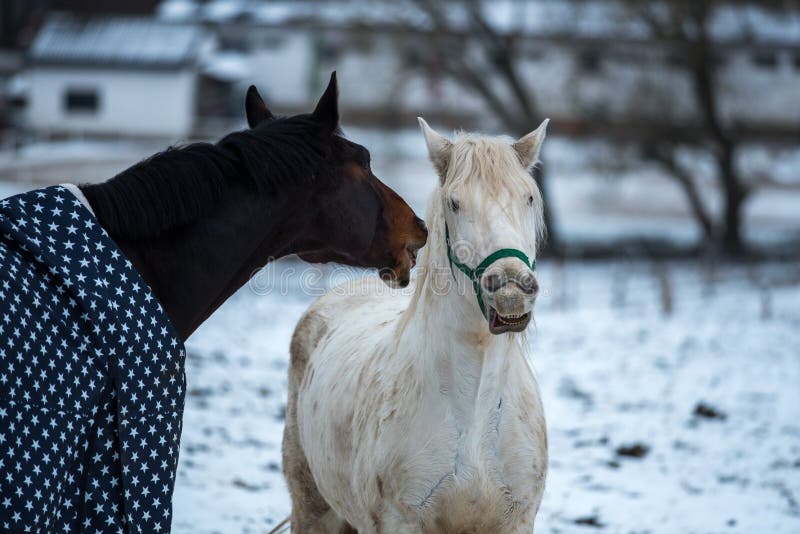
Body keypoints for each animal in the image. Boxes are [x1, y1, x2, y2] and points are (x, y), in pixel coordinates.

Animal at [282, 117, 550, 533]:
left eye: (529, 198)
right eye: (455, 203)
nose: (510, 289)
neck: (473, 411)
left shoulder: (517, 521)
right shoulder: (400, 520)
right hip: (312, 509)